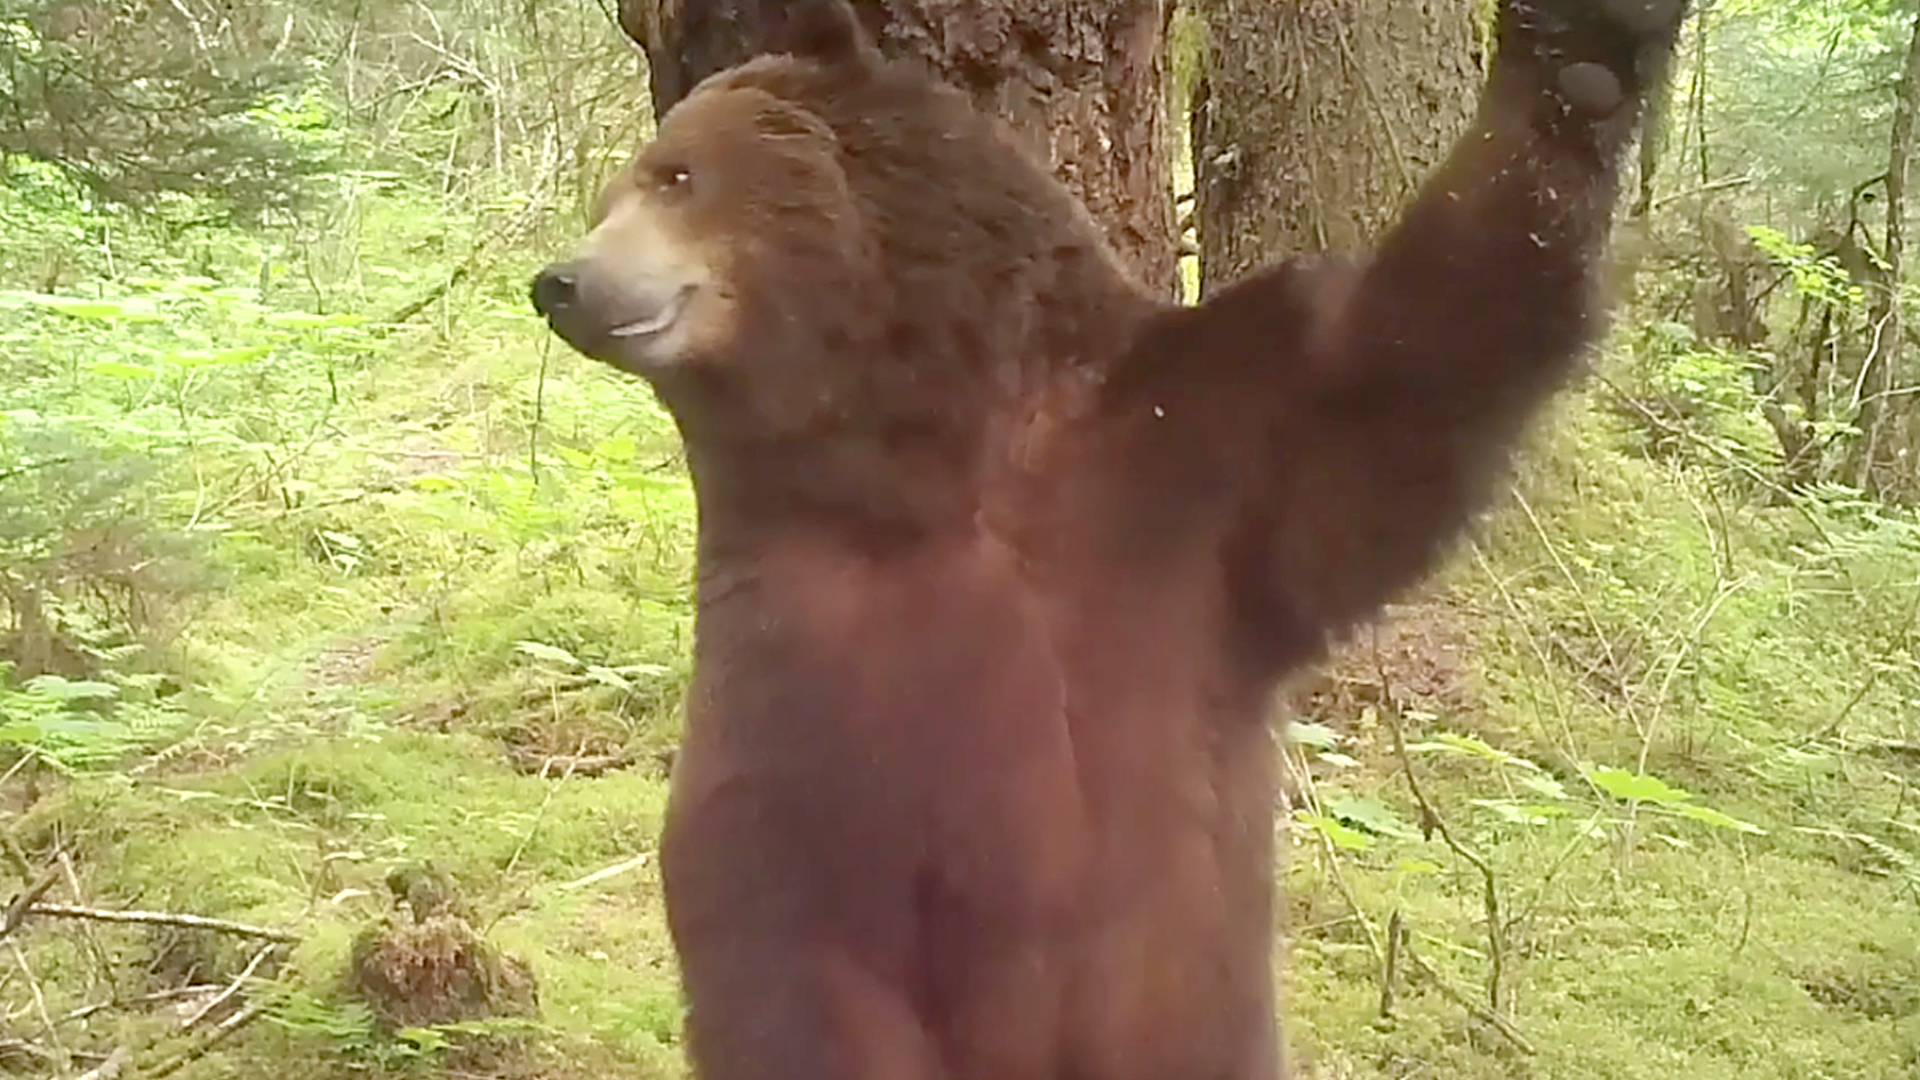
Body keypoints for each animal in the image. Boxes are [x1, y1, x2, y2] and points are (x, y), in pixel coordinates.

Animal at [529, 2, 1685, 1078]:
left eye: (674, 175)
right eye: (619, 191)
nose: (561, 283)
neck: (934, 451)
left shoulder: (1187, 475)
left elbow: (1405, 377)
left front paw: (1581, 59)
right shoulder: (793, 630)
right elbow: (762, 871)